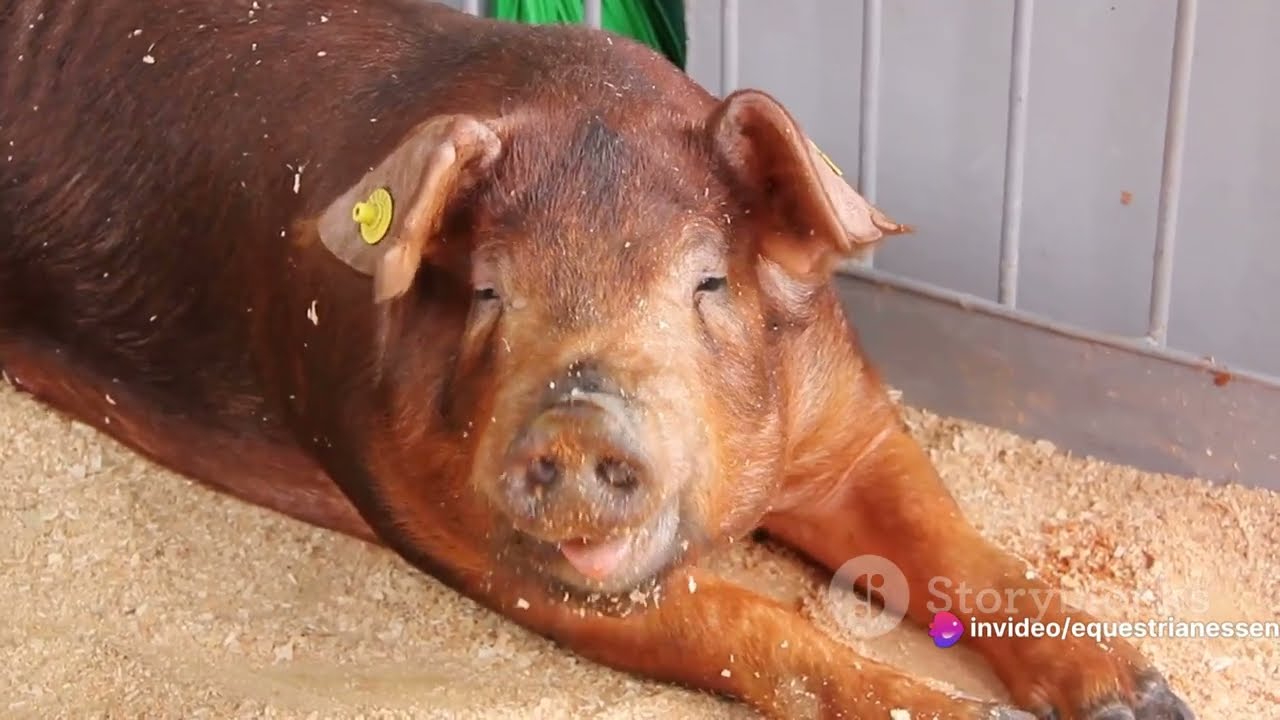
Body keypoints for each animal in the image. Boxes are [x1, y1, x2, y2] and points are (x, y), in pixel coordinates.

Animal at [0, 1, 1195, 718]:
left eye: (707, 281)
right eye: (490, 289)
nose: (577, 418)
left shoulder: (847, 425)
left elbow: (955, 544)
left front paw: (1145, 699)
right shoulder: (463, 530)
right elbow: (758, 631)